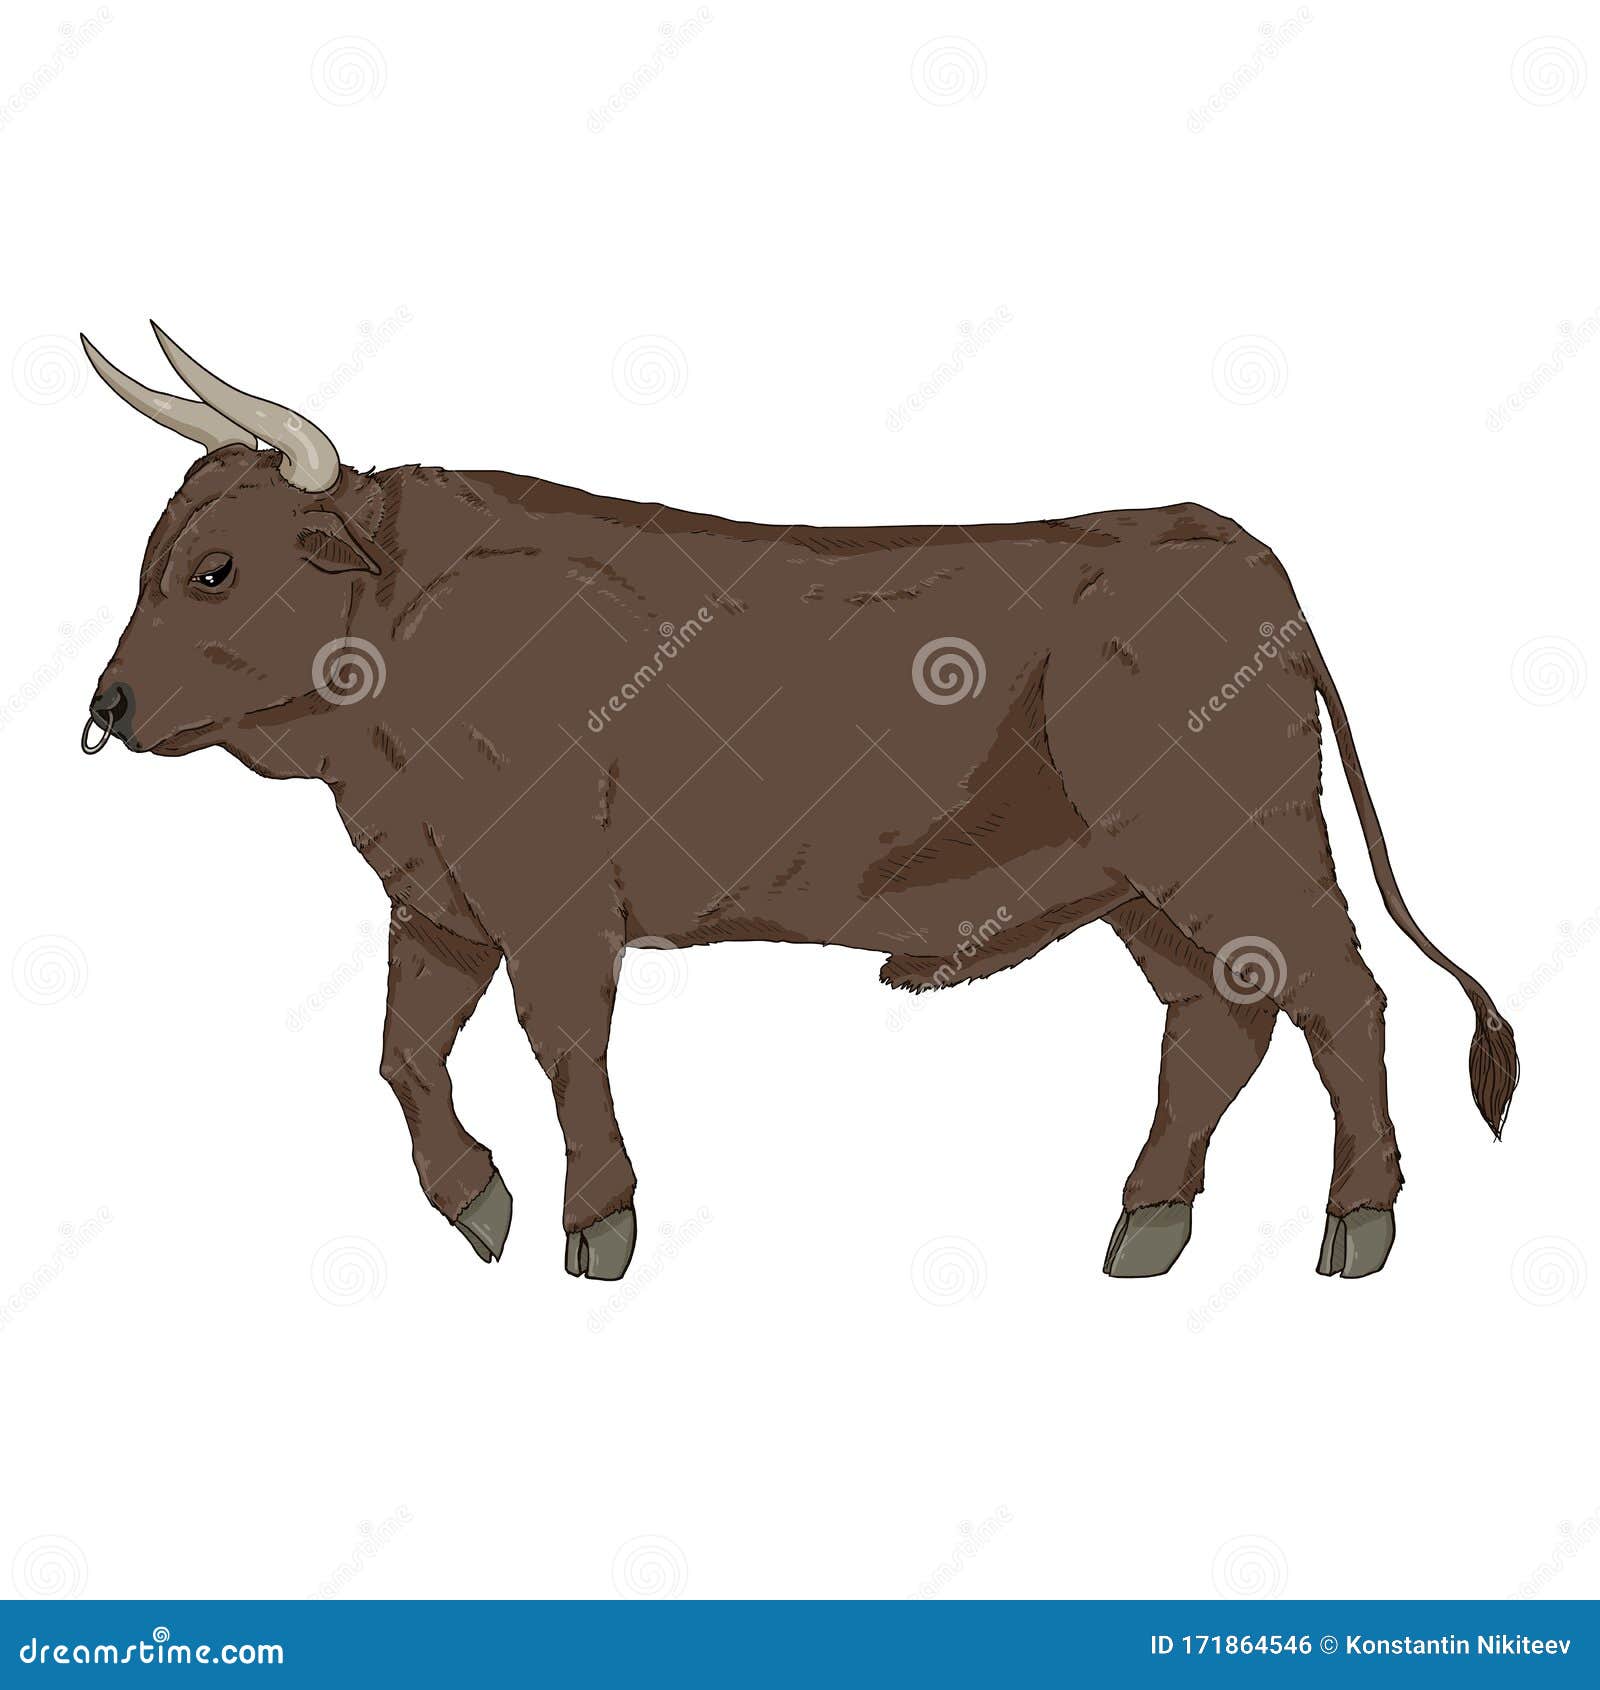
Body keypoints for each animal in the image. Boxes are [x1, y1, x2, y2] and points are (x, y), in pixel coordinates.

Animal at [80, 326, 1518, 1283]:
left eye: (217, 568)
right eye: (158, 555)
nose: (107, 706)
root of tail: (1231, 546)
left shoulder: (550, 904)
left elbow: (563, 1046)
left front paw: (595, 1223)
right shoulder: (439, 906)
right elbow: (404, 1054)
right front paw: (476, 1201)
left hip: (1229, 843)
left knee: (1339, 995)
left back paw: (1359, 1224)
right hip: (1143, 886)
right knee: (1220, 1018)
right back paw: (1145, 1225)